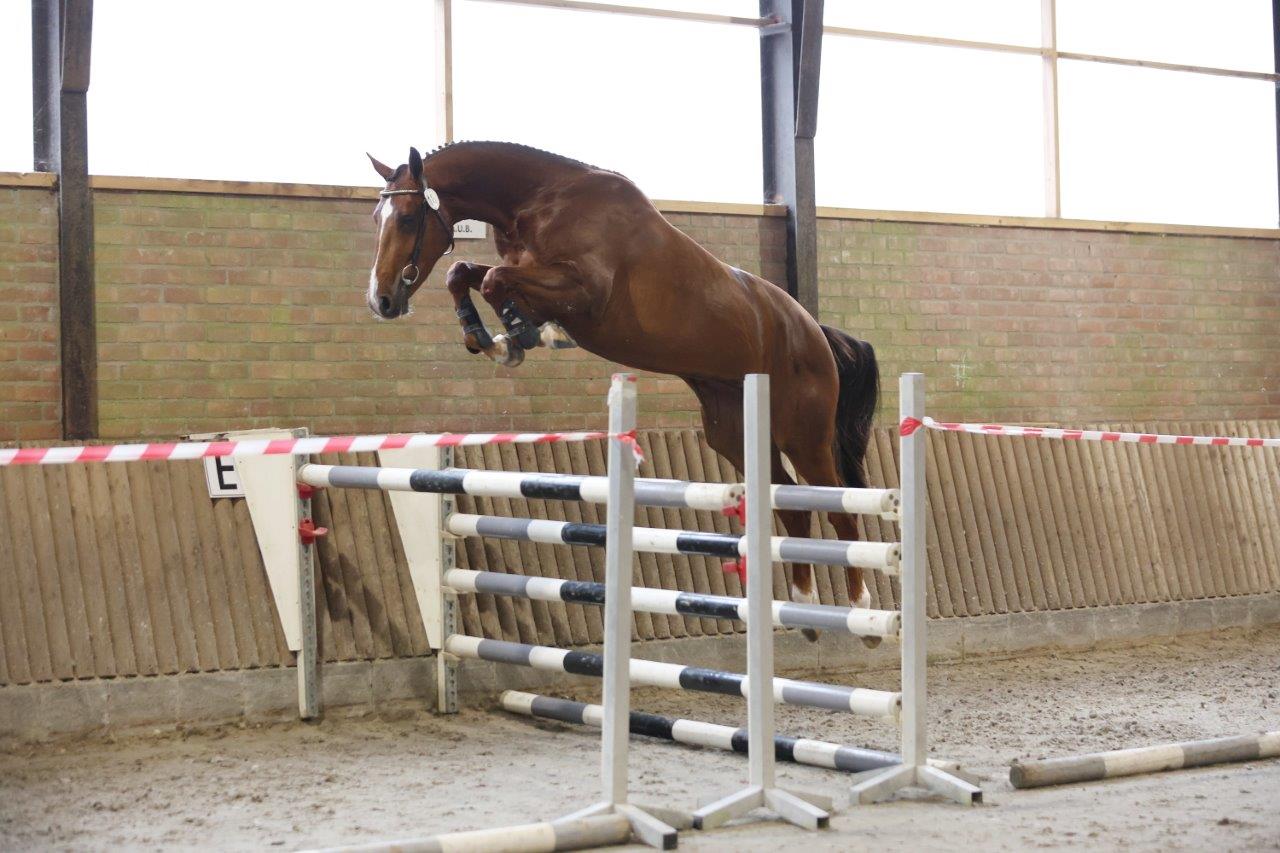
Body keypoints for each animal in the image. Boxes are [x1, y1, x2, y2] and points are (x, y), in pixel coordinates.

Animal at [366, 142, 880, 639]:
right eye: (377, 217)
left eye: (408, 218)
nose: (382, 300)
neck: (541, 199)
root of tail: (815, 332)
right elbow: (465, 272)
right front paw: (491, 337)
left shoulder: (583, 290)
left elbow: (494, 281)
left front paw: (522, 334)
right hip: (732, 429)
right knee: (789, 503)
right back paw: (803, 609)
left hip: (803, 434)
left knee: (838, 509)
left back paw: (862, 613)